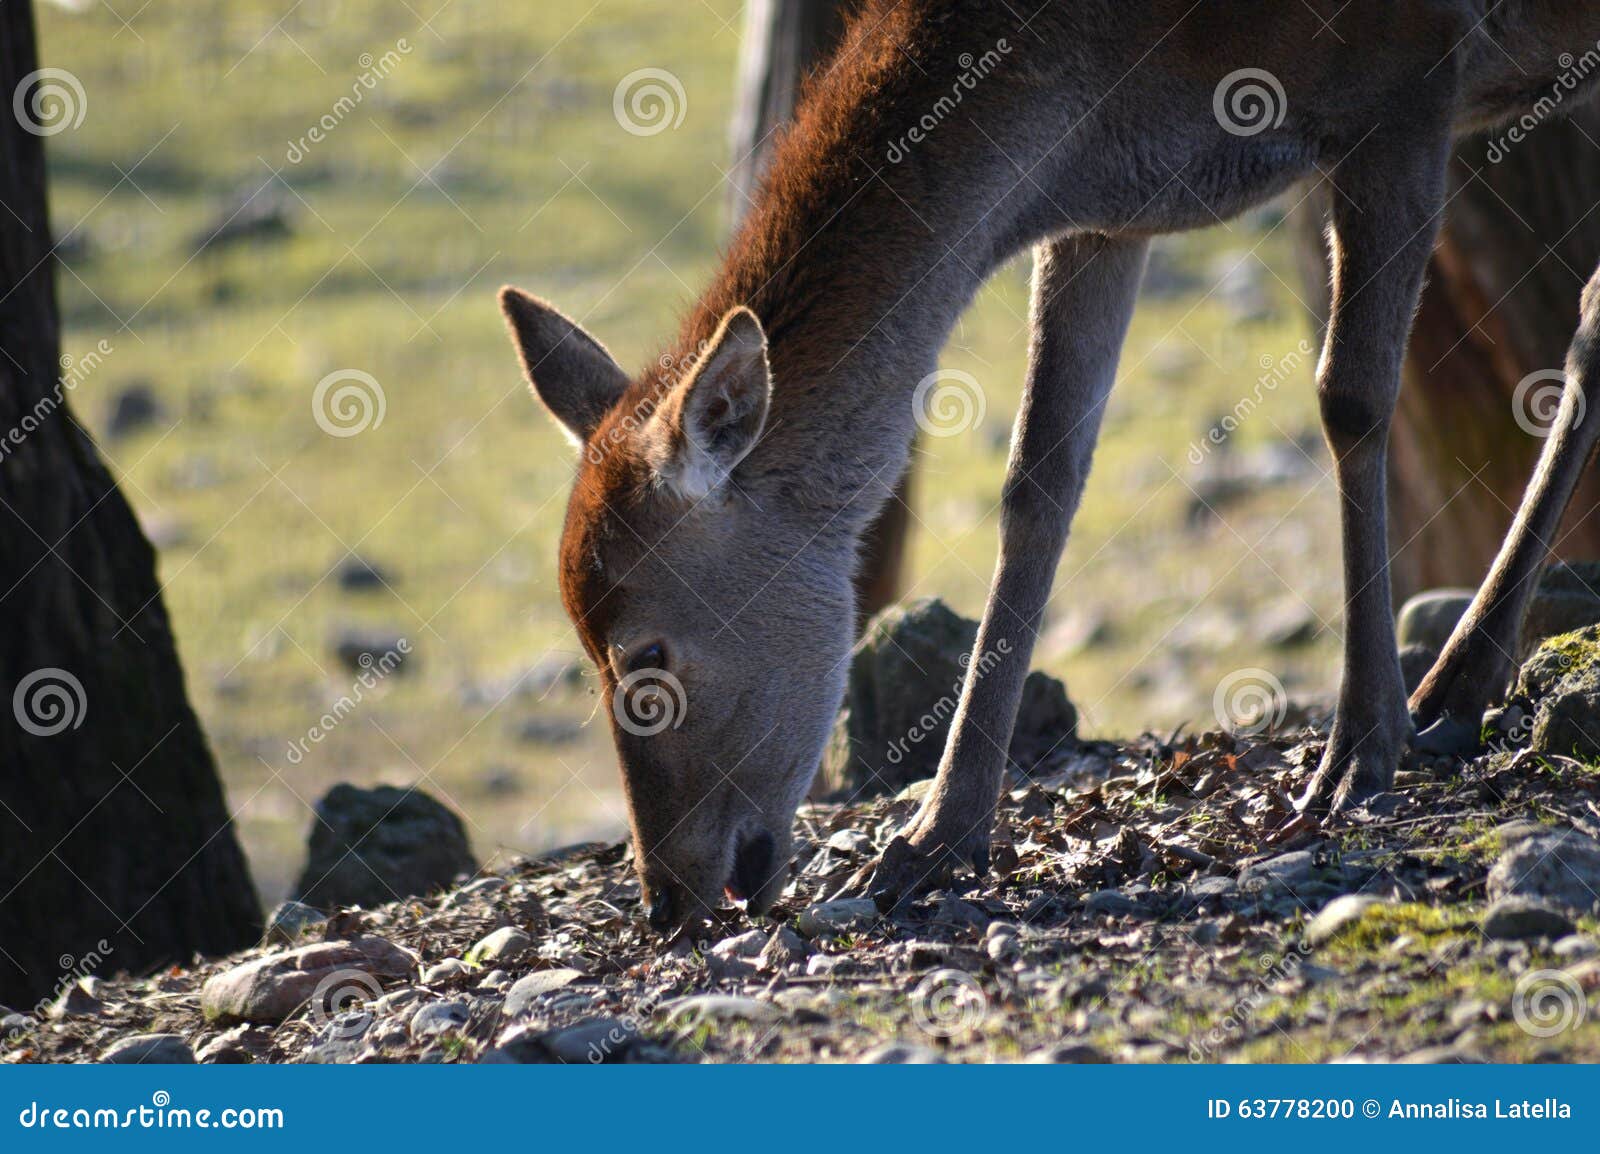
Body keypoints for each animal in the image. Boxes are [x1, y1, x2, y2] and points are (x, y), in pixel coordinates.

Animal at [499, 0, 1600, 934]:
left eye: (645, 653)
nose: (666, 900)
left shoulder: (1407, 77)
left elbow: (1353, 397)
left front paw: (1356, 754)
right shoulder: (1112, 213)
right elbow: (1039, 474)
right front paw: (933, 841)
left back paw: (1438, 689)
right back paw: (1461, 681)